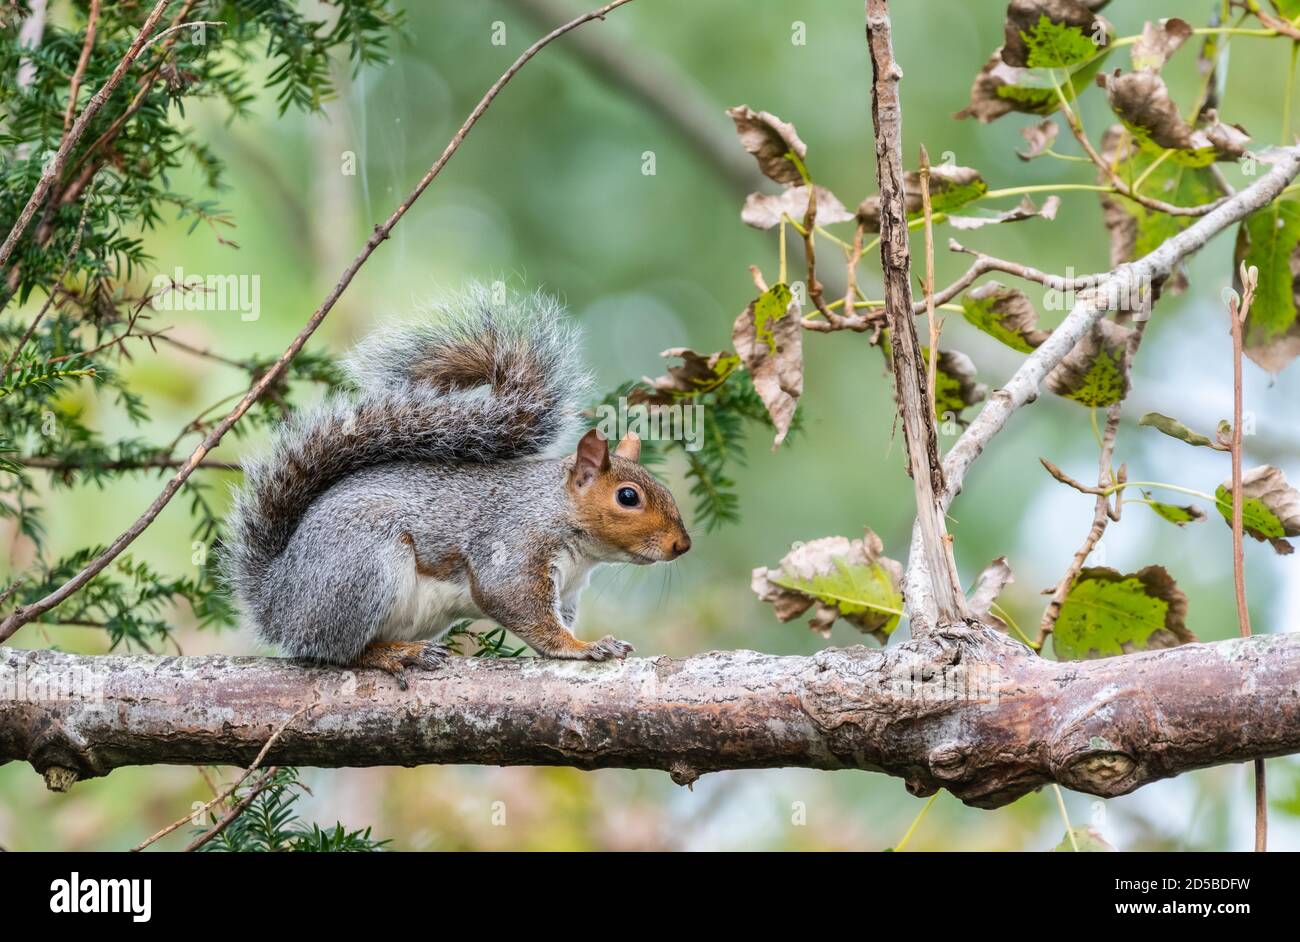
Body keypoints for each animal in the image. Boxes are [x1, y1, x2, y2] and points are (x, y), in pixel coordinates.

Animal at [223, 284, 691, 687]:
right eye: (628, 497)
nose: (682, 545)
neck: (559, 514)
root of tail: (277, 601)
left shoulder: (569, 590)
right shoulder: (514, 547)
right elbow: (521, 608)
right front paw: (583, 646)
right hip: (362, 569)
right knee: (337, 651)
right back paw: (395, 654)